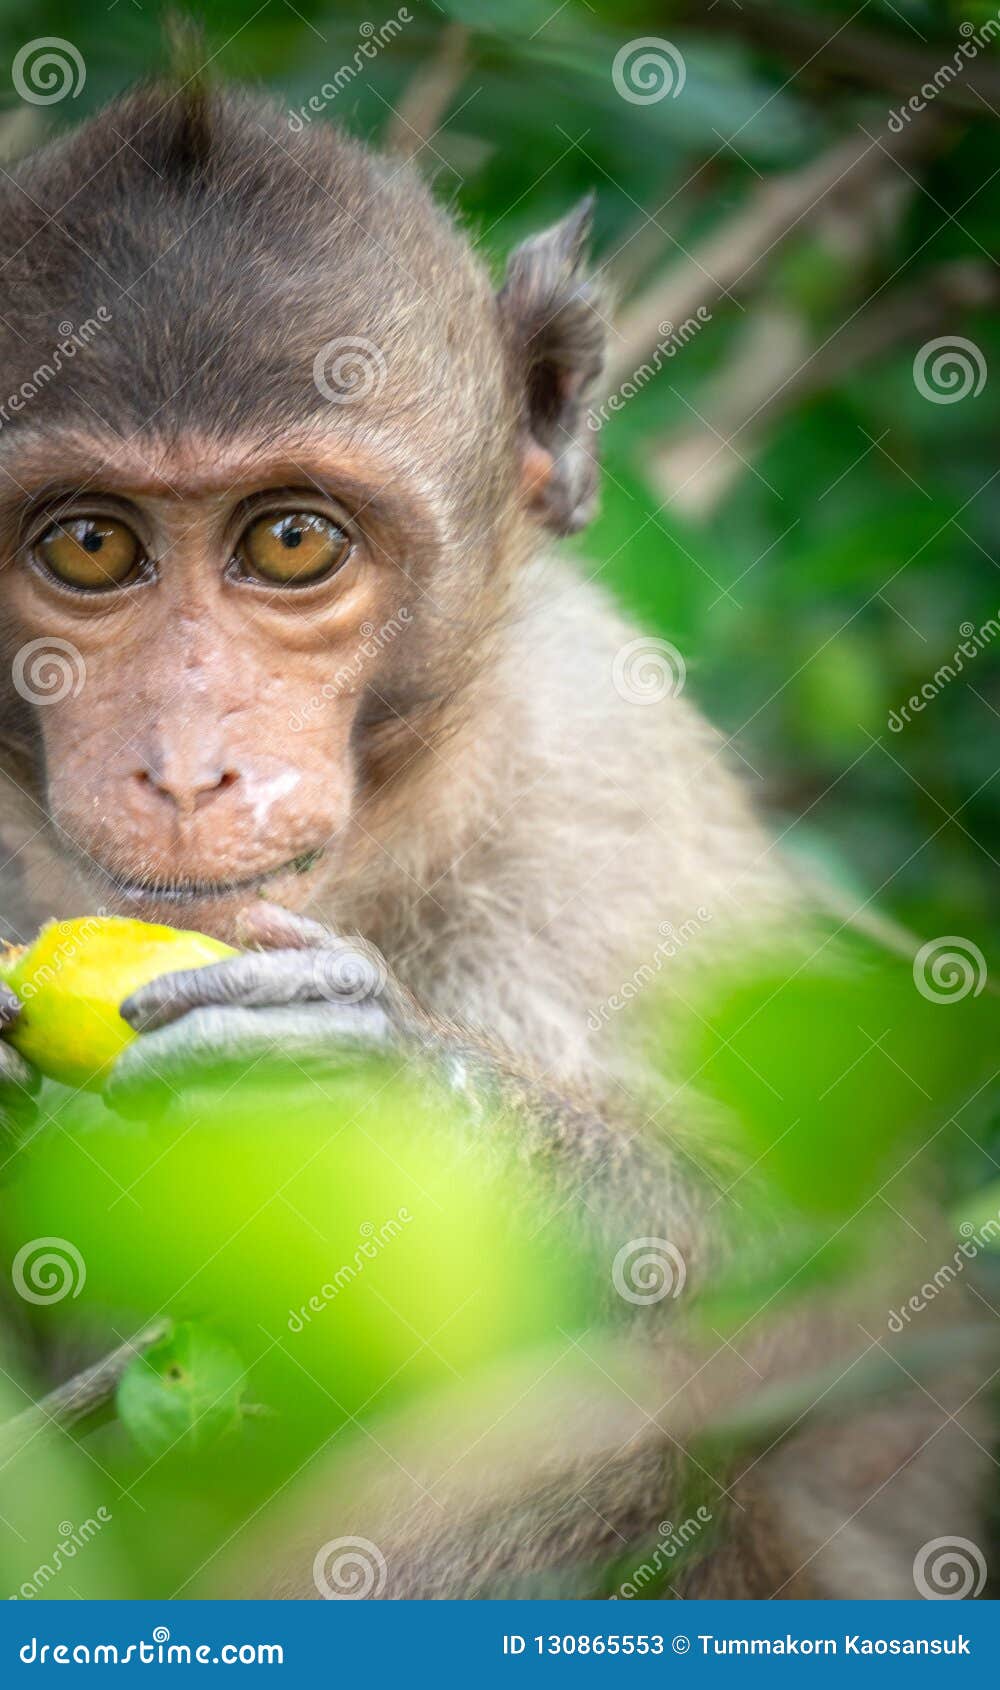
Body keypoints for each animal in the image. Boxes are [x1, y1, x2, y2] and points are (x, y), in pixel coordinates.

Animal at [0, 81, 989, 1601]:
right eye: (91, 547)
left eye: (292, 542)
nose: (183, 764)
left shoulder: (594, 781)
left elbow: (850, 1271)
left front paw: (372, 1095)